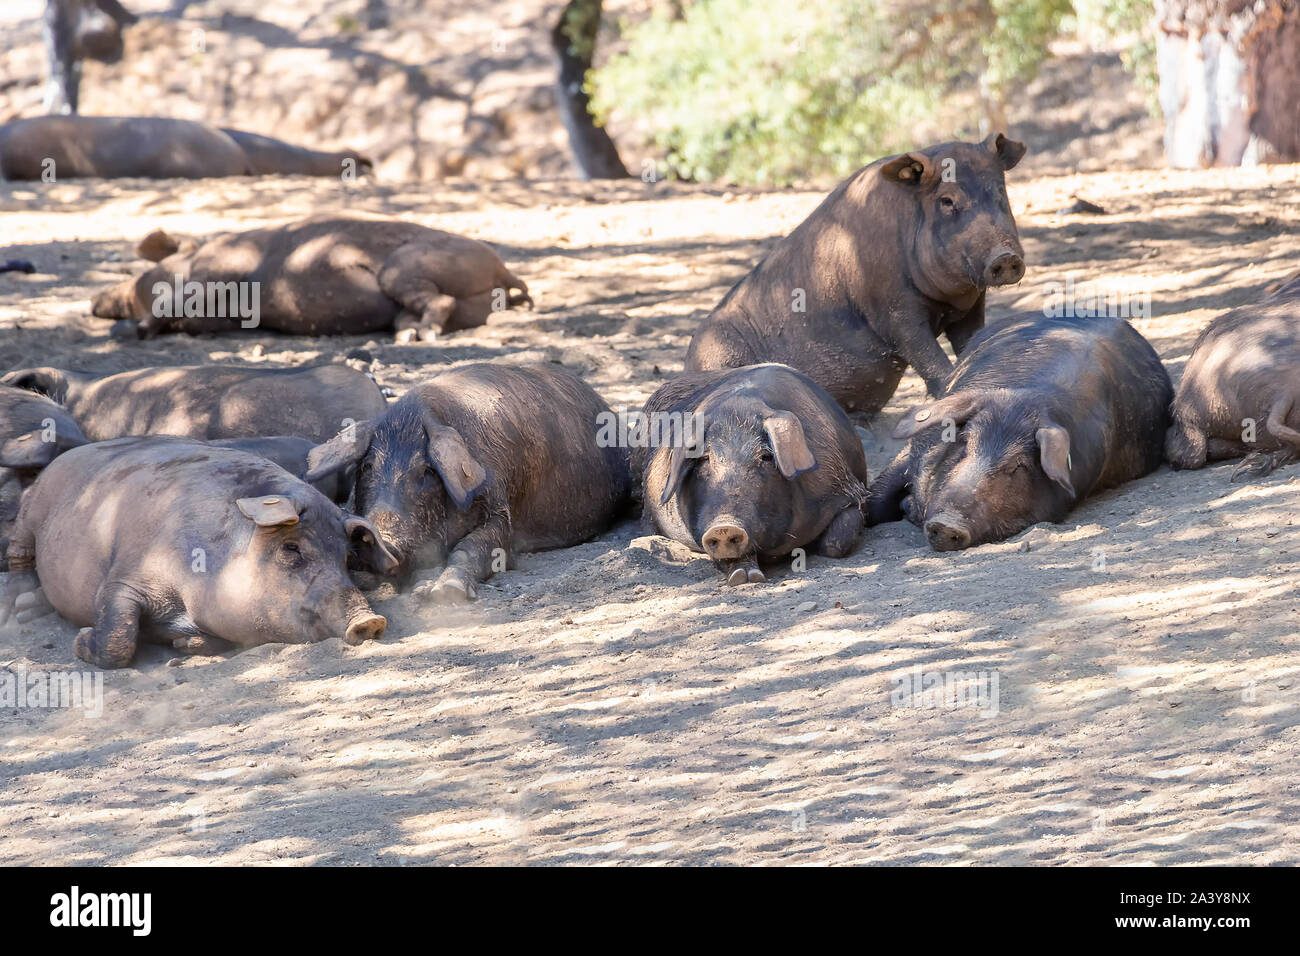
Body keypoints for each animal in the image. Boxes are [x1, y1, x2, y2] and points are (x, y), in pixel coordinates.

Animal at [0, 437, 395, 668]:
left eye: (345, 558)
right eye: (291, 548)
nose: (371, 621)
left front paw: (185, 643)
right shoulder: (125, 575)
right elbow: (118, 634)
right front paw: (81, 639)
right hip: (31, 511)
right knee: (19, 553)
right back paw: (20, 606)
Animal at [89, 217, 532, 341]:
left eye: (142, 274)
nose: (95, 301)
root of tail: (501, 269)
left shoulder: (221, 269)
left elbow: (178, 299)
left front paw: (136, 330)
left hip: (406, 266)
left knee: (439, 301)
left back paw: (419, 336)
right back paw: (408, 334)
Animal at [304, 363, 631, 601]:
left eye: (427, 471)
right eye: (368, 466)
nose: (377, 536)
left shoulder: (502, 513)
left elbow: (473, 546)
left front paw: (445, 593)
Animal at [635, 363, 869, 585]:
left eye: (766, 457)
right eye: (705, 459)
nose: (724, 527)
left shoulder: (845, 487)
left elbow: (838, 540)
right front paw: (745, 577)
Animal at [685, 134, 1027, 419]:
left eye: (1000, 191)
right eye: (947, 201)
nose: (1005, 256)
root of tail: (688, 363)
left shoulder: (971, 308)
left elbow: (974, 345)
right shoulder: (892, 311)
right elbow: (929, 359)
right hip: (720, 354)